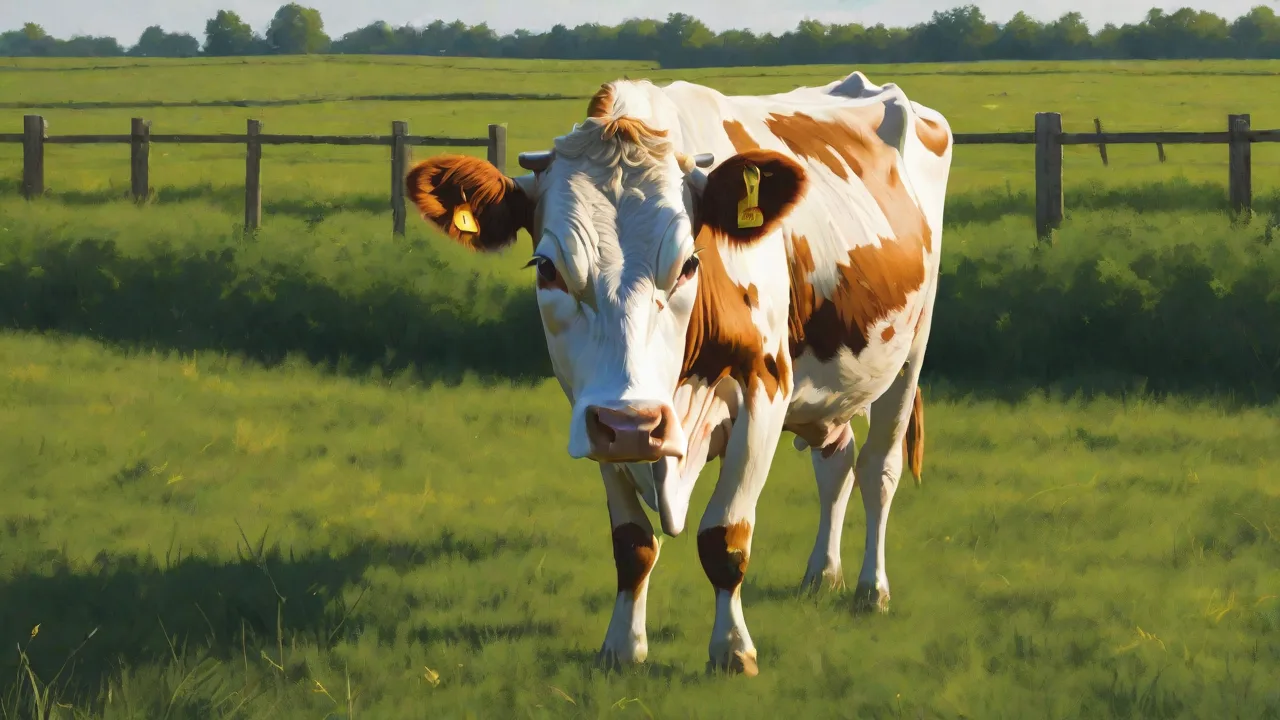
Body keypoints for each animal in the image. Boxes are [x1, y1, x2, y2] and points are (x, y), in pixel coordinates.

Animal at [403, 70, 951, 676]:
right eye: (547, 268)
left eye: (690, 263)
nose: (634, 423)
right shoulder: (595, 414)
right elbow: (632, 543)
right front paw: (622, 647)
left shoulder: (765, 388)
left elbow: (725, 536)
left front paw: (732, 650)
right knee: (837, 463)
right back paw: (820, 574)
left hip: (912, 347)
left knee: (879, 470)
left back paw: (870, 589)